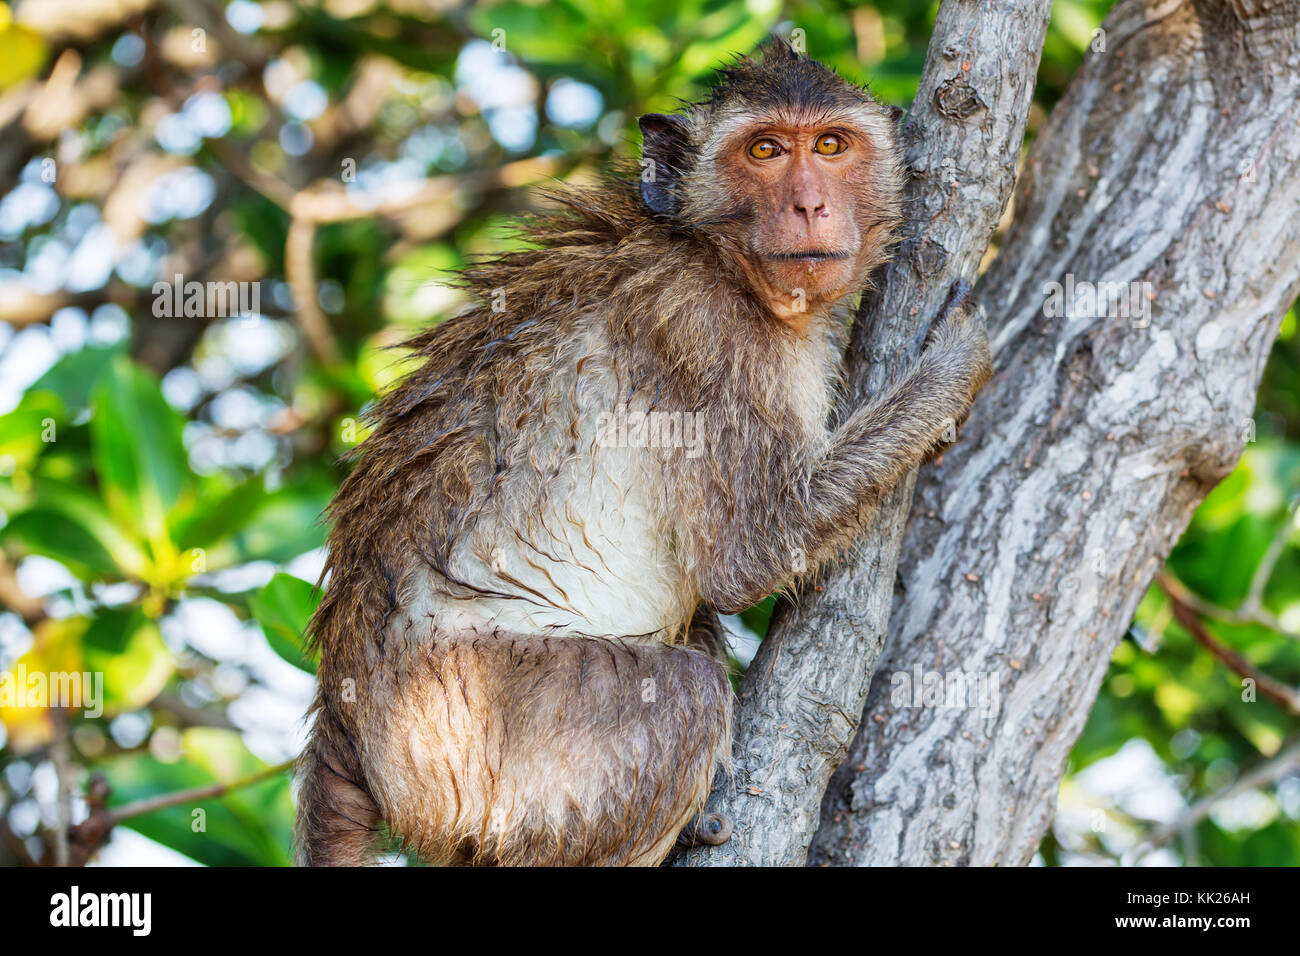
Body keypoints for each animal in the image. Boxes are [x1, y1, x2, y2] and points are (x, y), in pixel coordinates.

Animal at [294, 39, 992, 867]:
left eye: (830, 146)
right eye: (764, 150)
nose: (809, 206)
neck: (713, 253)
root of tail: (342, 717)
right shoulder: (707, 330)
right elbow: (751, 554)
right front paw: (955, 366)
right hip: (472, 725)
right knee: (683, 693)